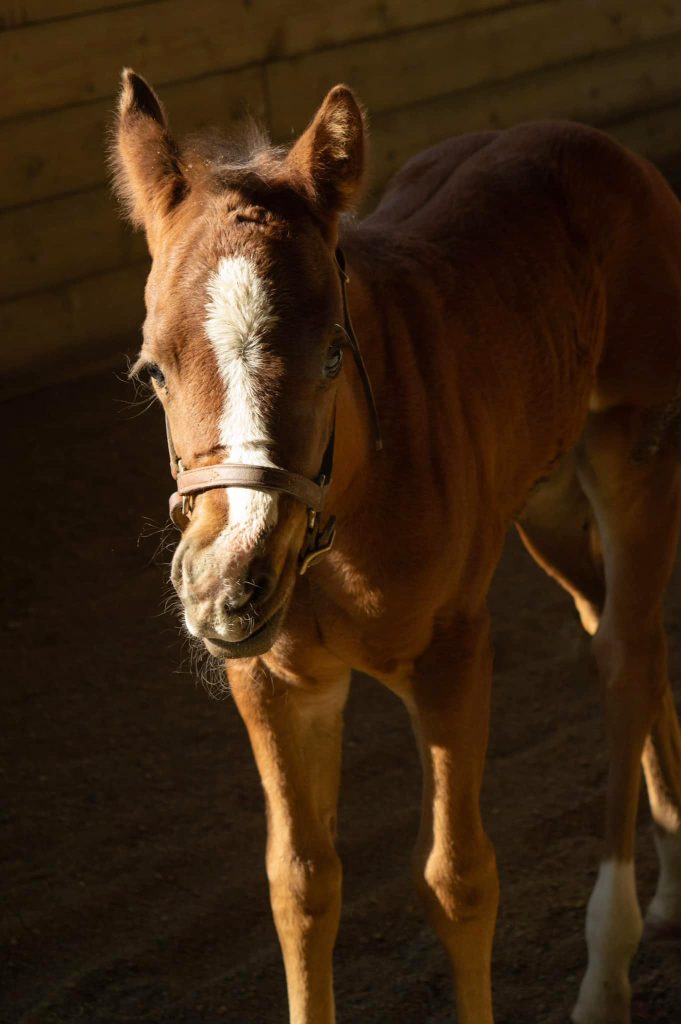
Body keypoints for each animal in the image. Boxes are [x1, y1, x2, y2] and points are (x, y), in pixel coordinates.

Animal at [113, 68, 681, 1023]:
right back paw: (673, 883)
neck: (334, 530)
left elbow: (457, 881)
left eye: (332, 352)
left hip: (632, 455)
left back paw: (606, 971)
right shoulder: (274, 683)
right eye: (152, 370)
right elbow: (301, 886)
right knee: (625, 635)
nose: (229, 584)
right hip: (548, 503)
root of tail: (616, 155)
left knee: (625, 660)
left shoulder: (451, 653)